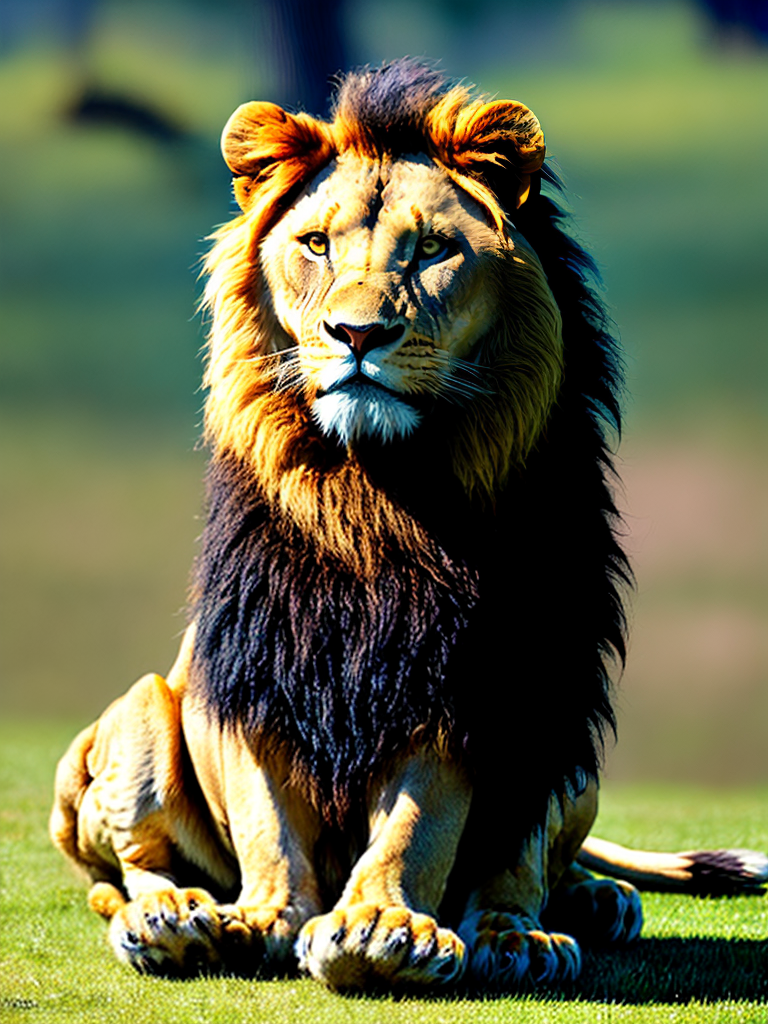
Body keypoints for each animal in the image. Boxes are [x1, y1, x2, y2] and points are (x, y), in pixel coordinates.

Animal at [49, 60, 767, 992]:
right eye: (316, 244)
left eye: (430, 250)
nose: (356, 334)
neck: (378, 495)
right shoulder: (260, 665)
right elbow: (266, 819)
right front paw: (264, 918)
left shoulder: (474, 674)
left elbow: (423, 822)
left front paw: (381, 923)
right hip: (136, 716)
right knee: (127, 868)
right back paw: (171, 916)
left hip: (564, 718)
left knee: (536, 856)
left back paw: (547, 919)